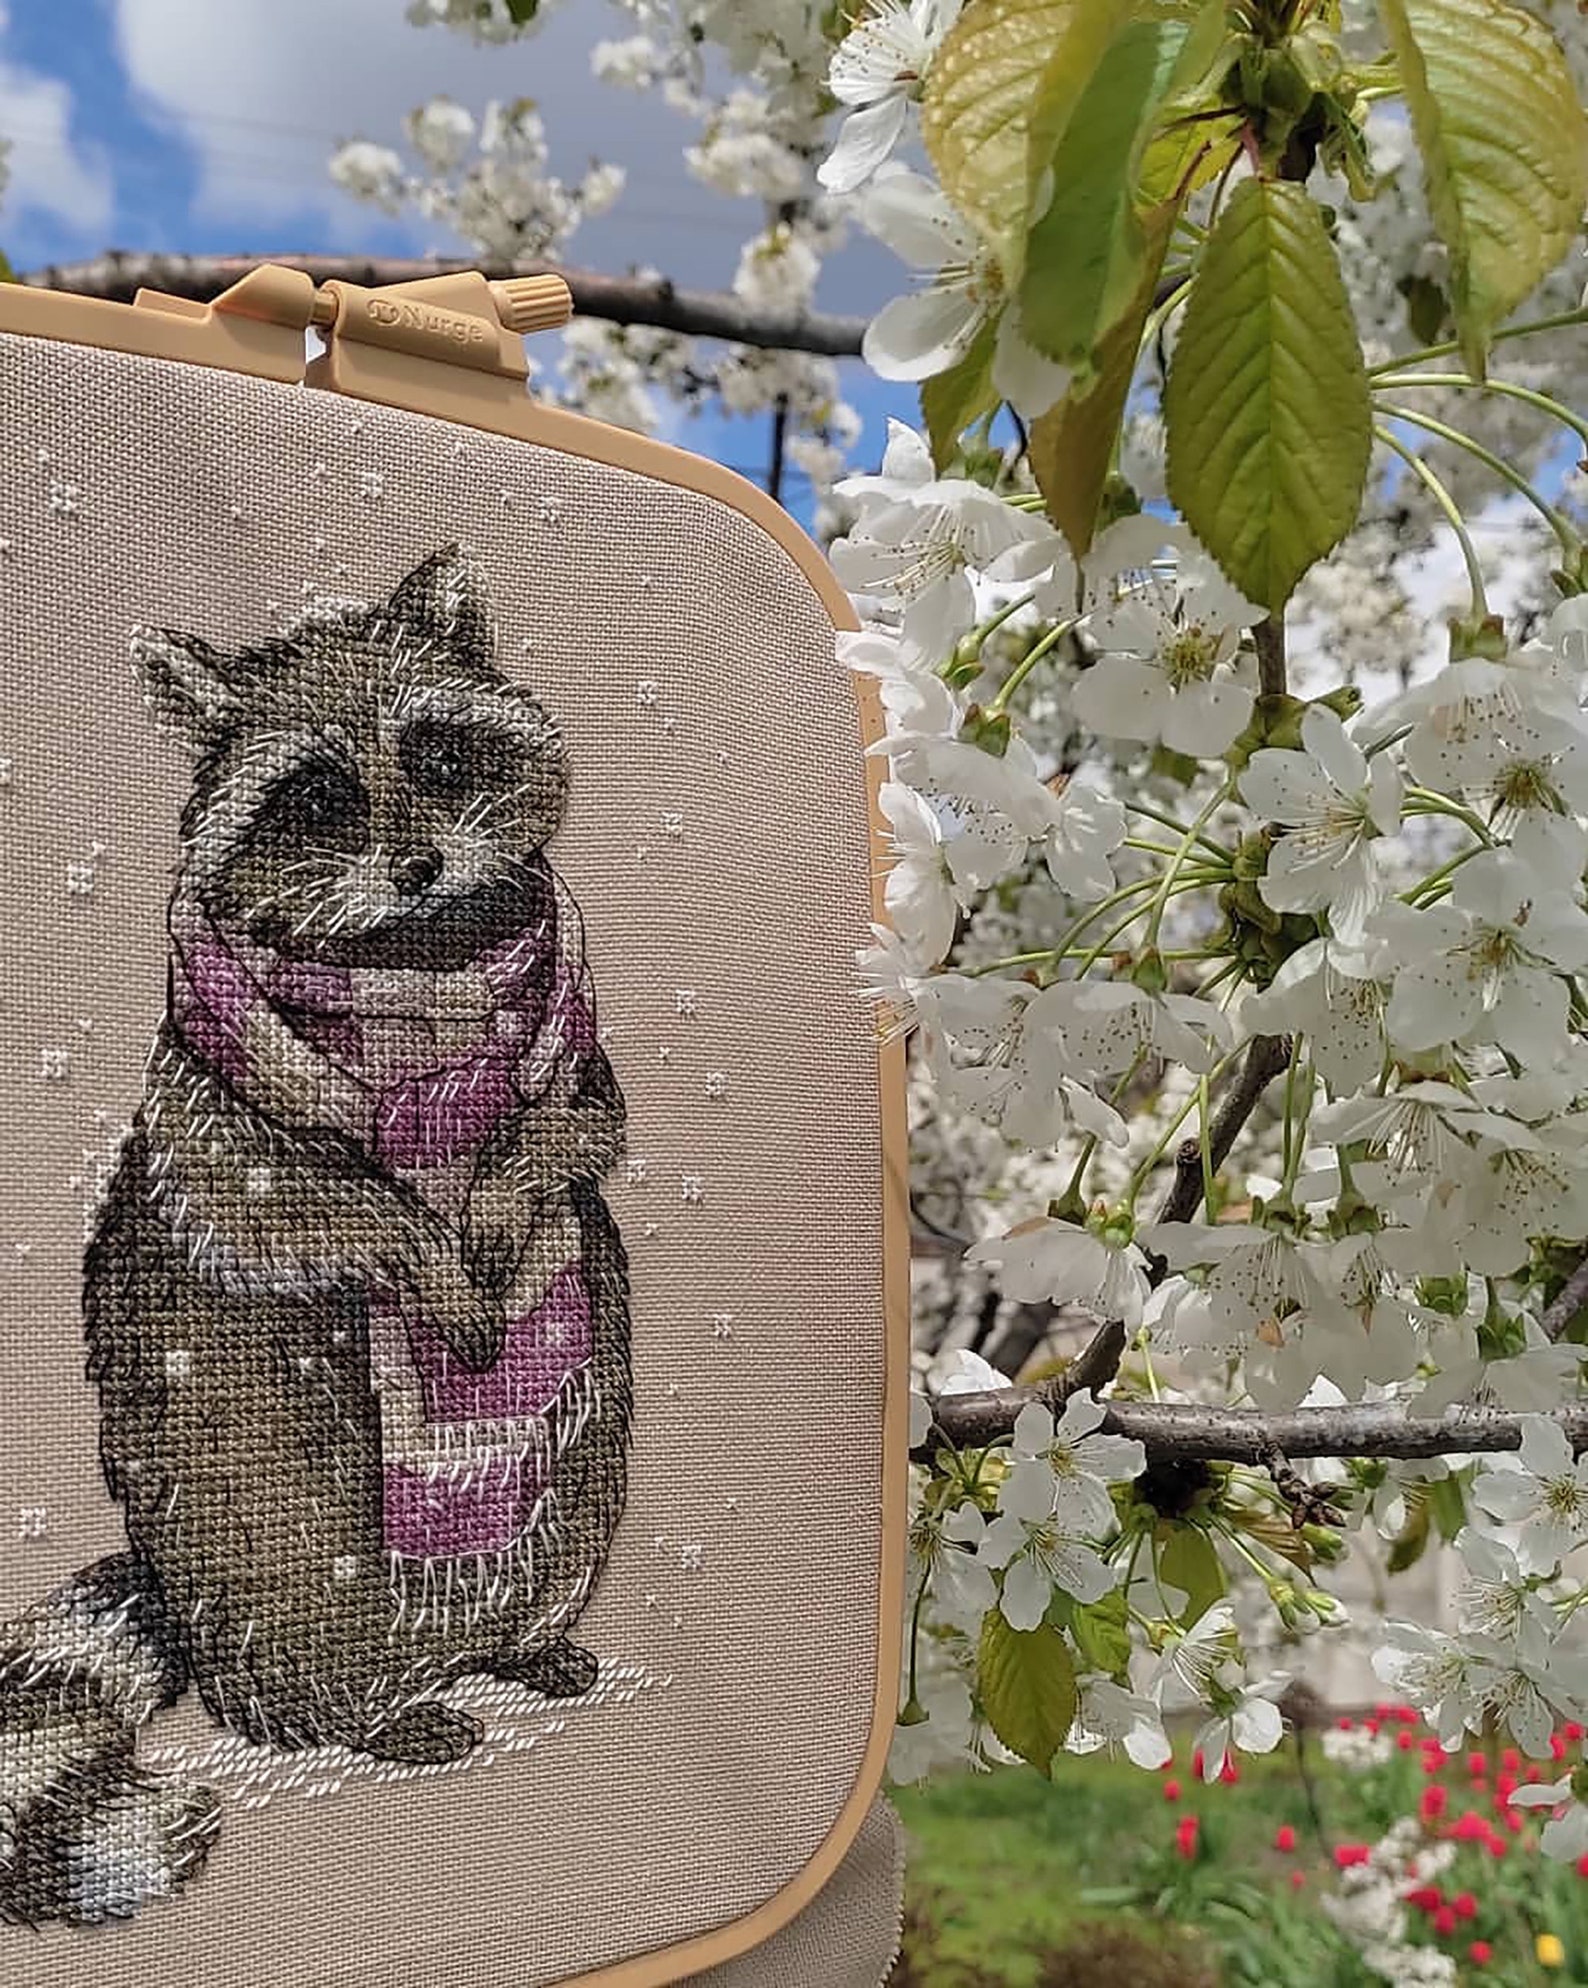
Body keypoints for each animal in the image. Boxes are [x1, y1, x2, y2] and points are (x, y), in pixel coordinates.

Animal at [82, 545, 632, 1768]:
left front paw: (501, 1190)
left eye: (438, 752)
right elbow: (298, 1207)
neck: (414, 966)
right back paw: (357, 1712)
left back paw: (522, 1645)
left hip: (588, 1452)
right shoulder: (213, 1107)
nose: (421, 864)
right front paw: (429, 1255)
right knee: (285, 1582)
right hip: (241, 1516)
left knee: (572, 1510)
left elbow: (570, 1132)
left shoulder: (570, 1050)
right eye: (316, 796)